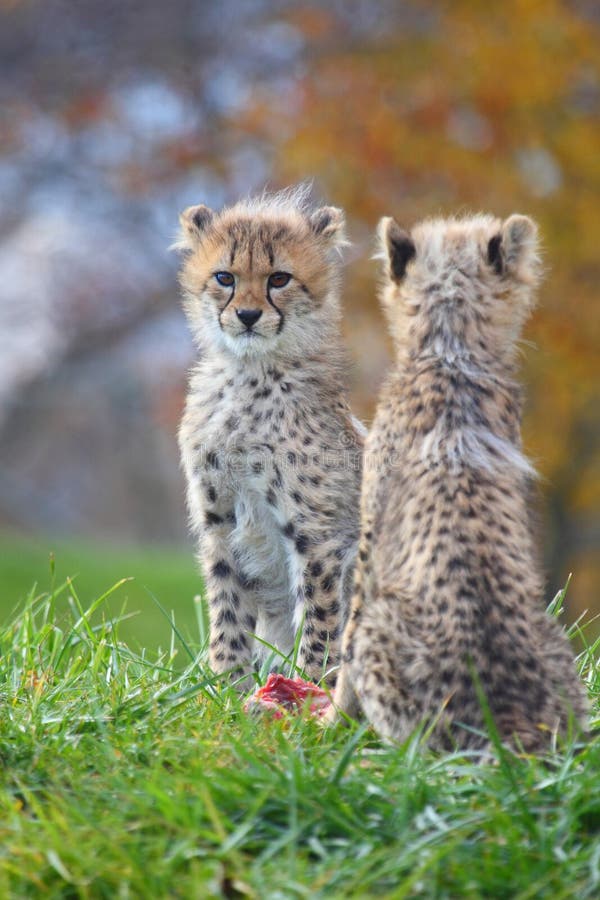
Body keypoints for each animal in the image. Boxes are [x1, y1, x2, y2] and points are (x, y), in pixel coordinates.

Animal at [176, 187, 363, 688]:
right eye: (224, 277)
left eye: (279, 278)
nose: (246, 315)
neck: (250, 374)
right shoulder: (220, 518)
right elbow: (227, 602)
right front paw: (227, 681)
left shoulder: (316, 532)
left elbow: (319, 610)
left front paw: (313, 683)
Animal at [327, 212, 589, 751]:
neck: (451, 349)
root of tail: (510, 725)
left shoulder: (370, 546)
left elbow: (346, 647)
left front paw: (326, 723)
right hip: (555, 643)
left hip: (388, 640)